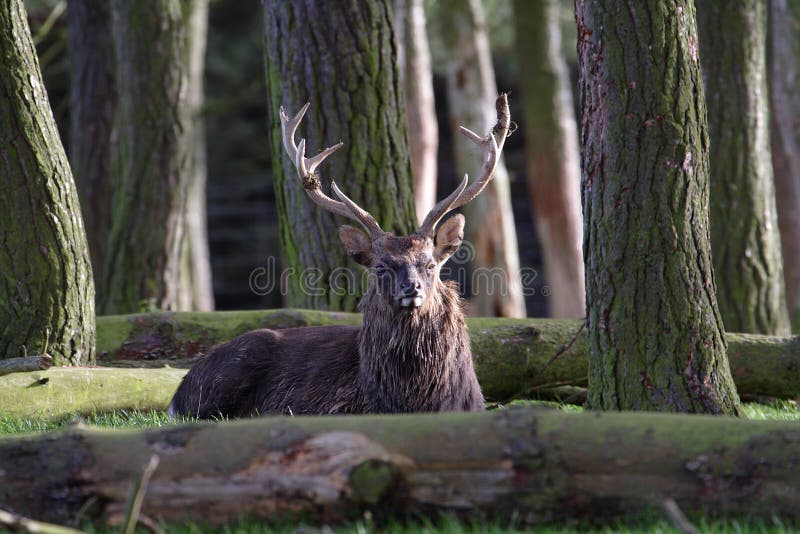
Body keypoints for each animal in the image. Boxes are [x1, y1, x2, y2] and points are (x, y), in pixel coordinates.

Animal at [168, 95, 511, 418]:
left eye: (430, 265)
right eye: (381, 267)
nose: (411, 288)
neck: (413, 398)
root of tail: (177, 393)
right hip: (236, 363)